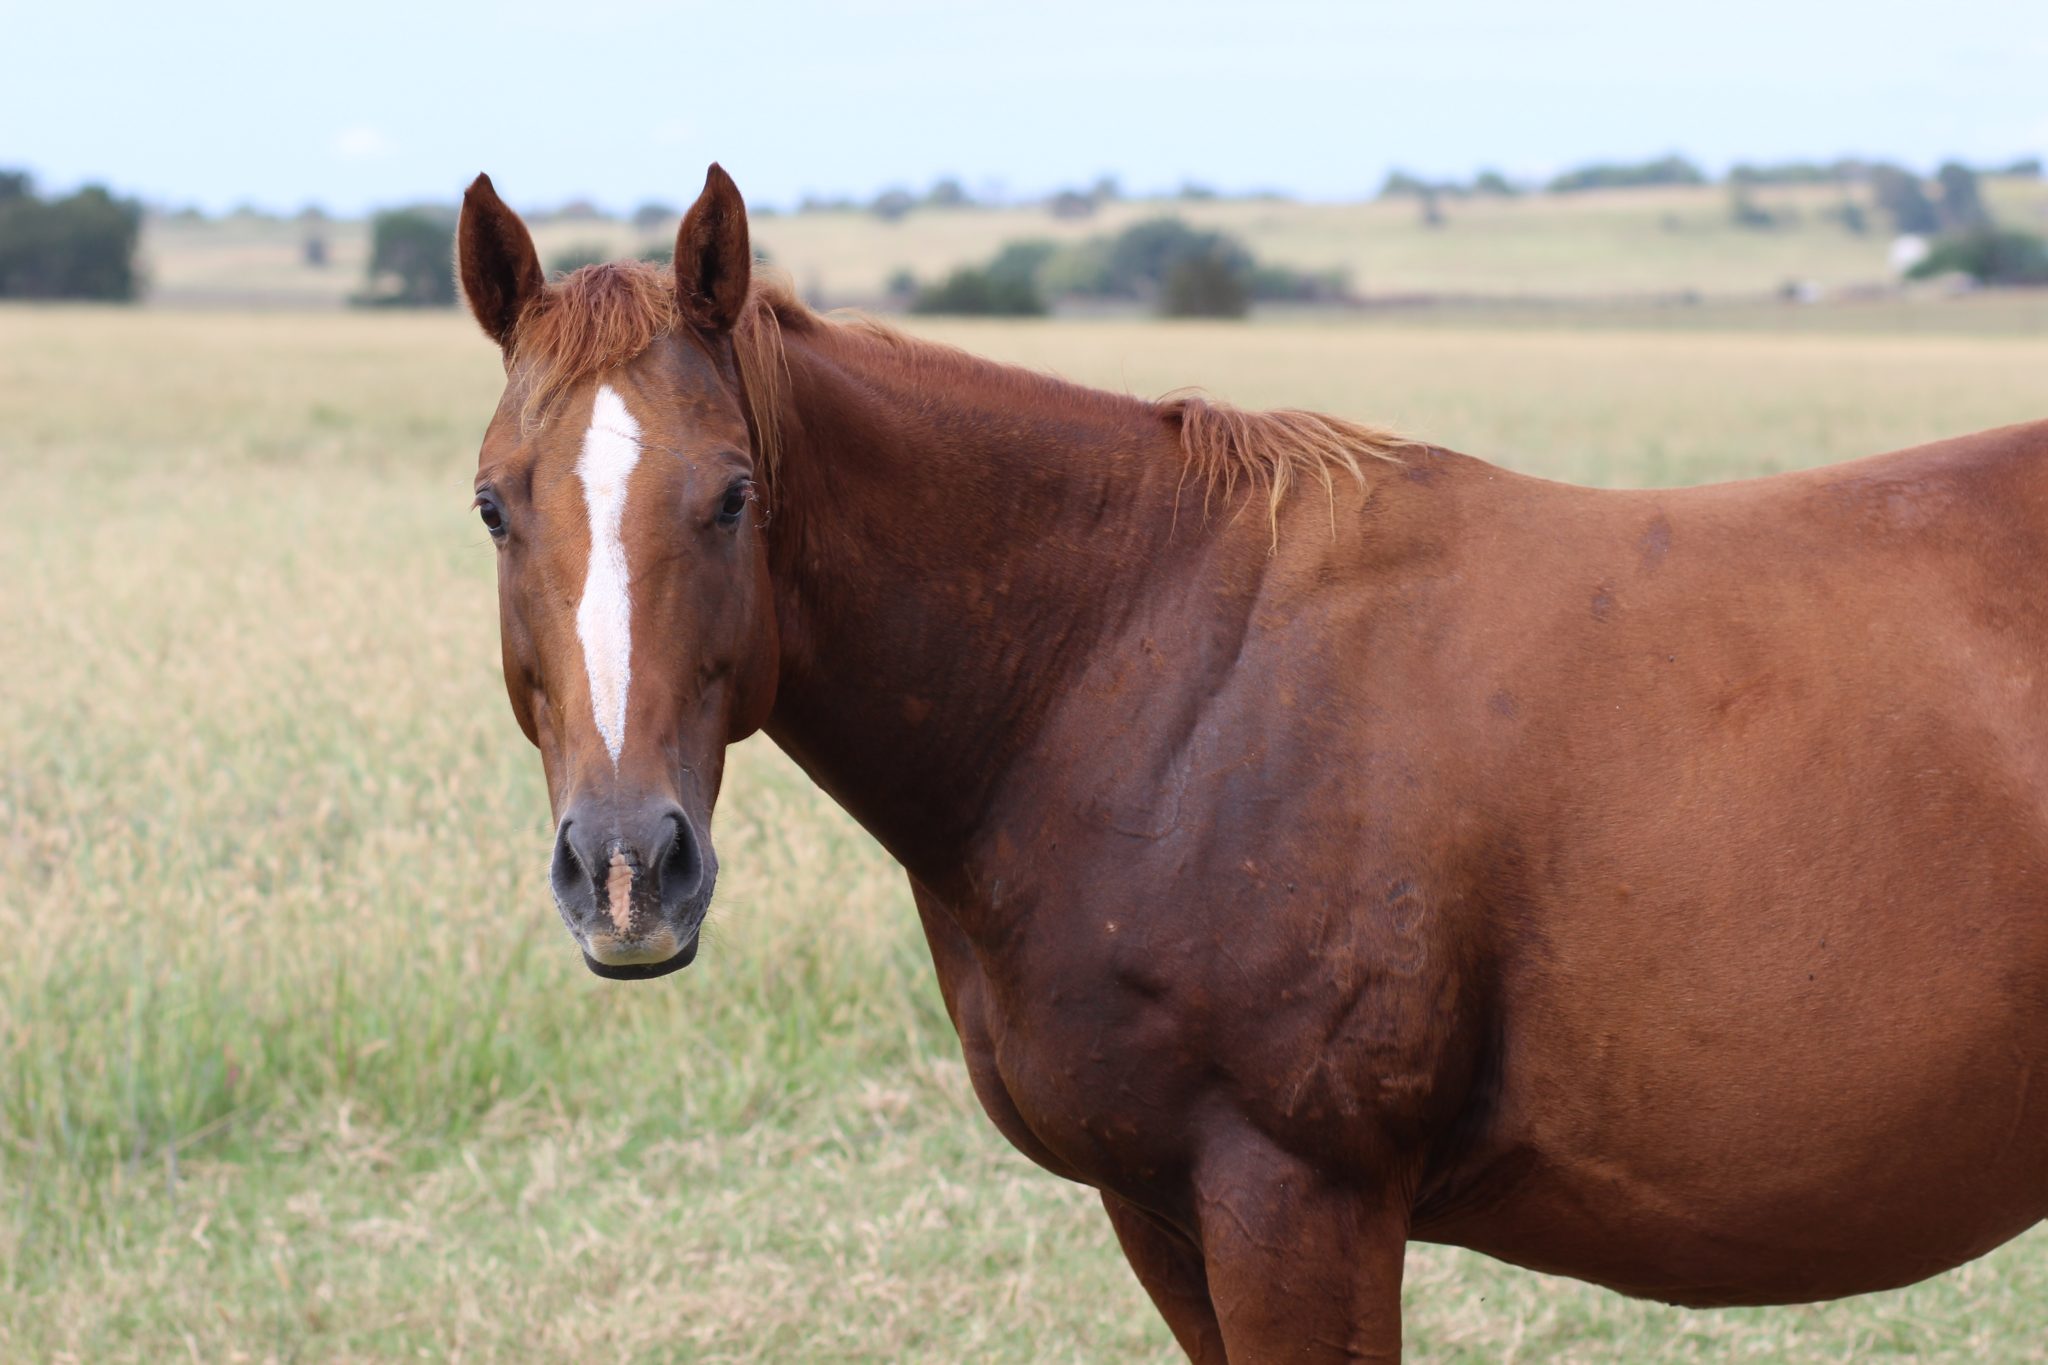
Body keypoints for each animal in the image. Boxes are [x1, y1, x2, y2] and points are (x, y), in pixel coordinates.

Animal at [454, 164, 2048, 1361]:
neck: (1141, 675)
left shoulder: (1298, 1206)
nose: (626, 869)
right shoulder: (1162, 1213)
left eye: (734, 496)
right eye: (492, 504)